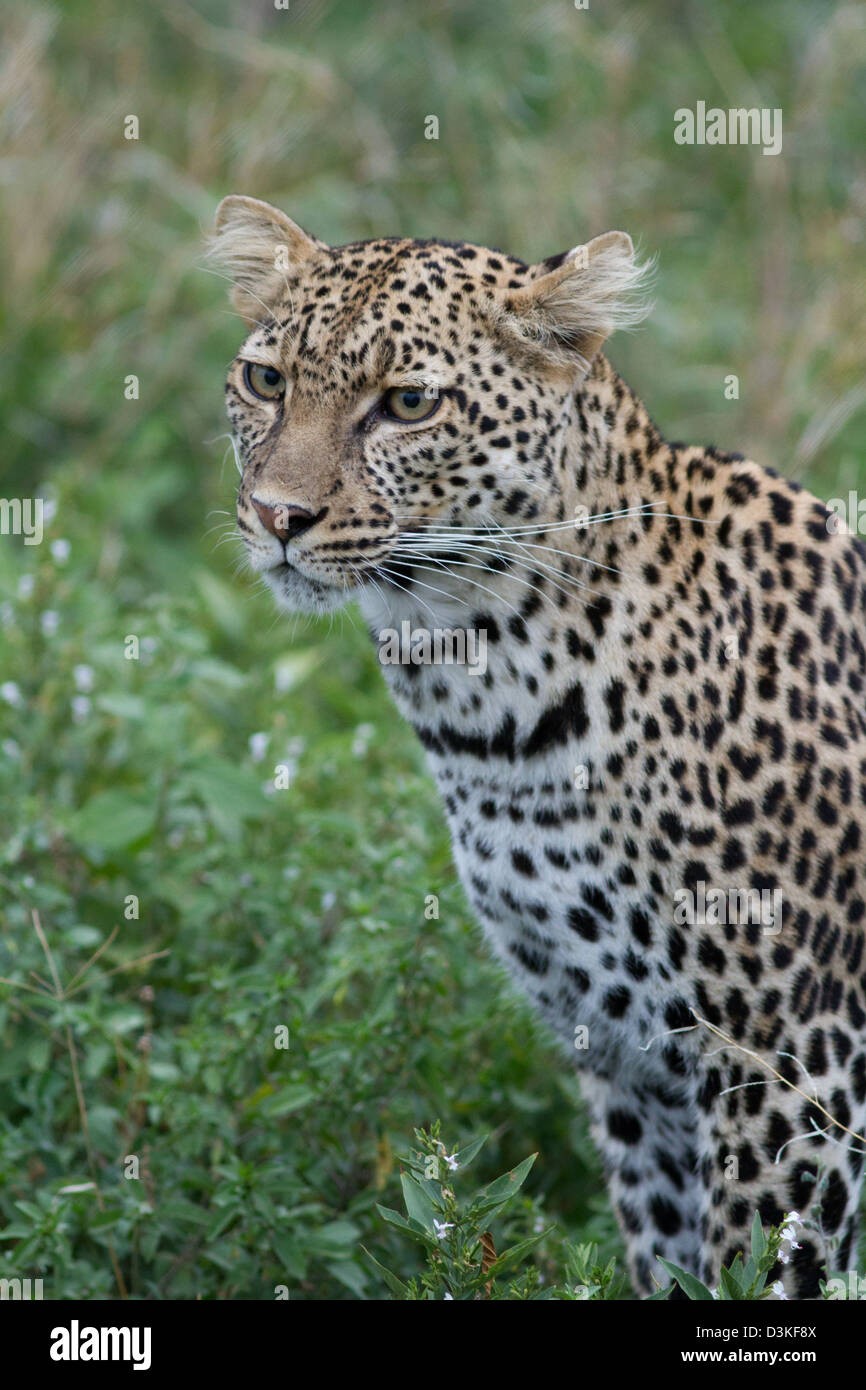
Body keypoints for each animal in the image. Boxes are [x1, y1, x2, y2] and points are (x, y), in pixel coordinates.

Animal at [208, 194, 866, 1298]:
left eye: (407, 404)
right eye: (266, 381)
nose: (276, 516)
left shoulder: (791, 1072)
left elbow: (761, 1266)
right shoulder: (629, 1064)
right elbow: (665, 1256)